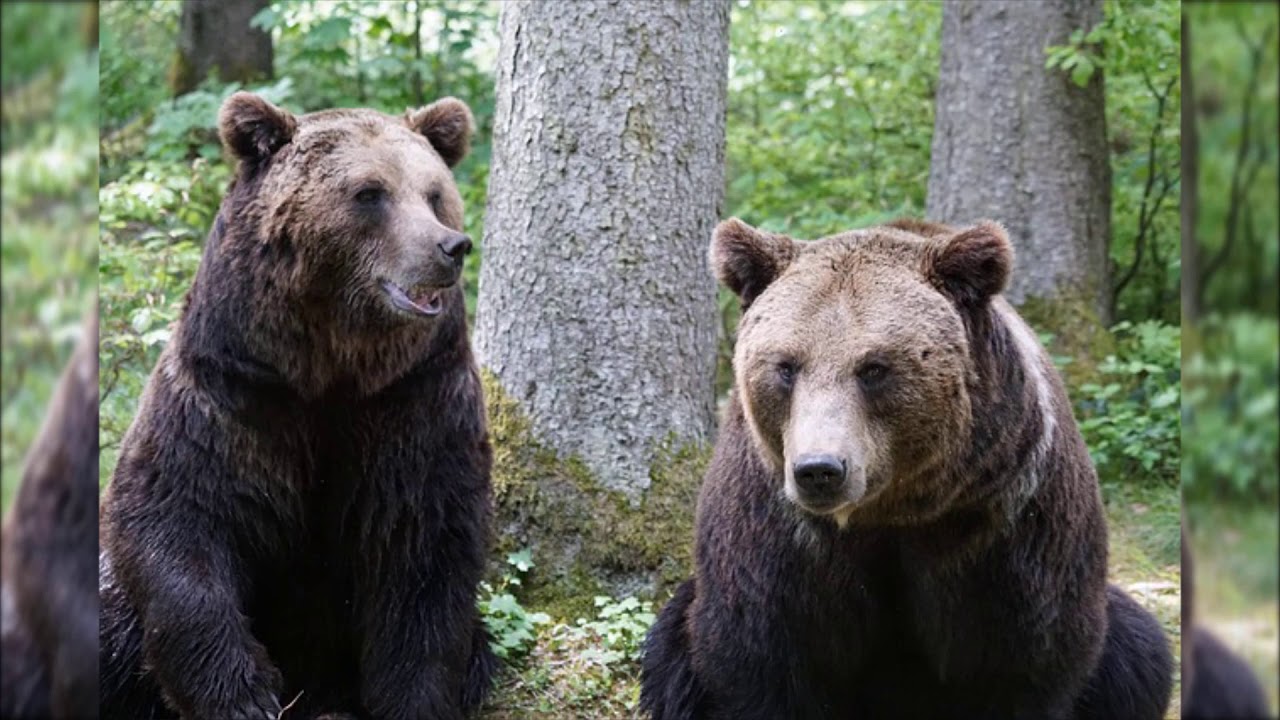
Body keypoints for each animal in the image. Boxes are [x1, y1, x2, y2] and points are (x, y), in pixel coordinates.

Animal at [98, 92, 495, 720]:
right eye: (370, 192)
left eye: (434, 193)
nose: (449, 247)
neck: (328, 366)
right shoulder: (231, 396)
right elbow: (174, 517)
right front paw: (246, 695)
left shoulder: (416, 402)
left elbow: (425, 547)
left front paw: (413, 698)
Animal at [640, 217, 1173, 719]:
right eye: (786, 366)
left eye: (874, 367)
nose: (820, 469)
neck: (893, 511)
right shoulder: (777, 524)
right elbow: (761, 653)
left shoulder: (1007, 515)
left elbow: (1025, 656)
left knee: (1139, 650)